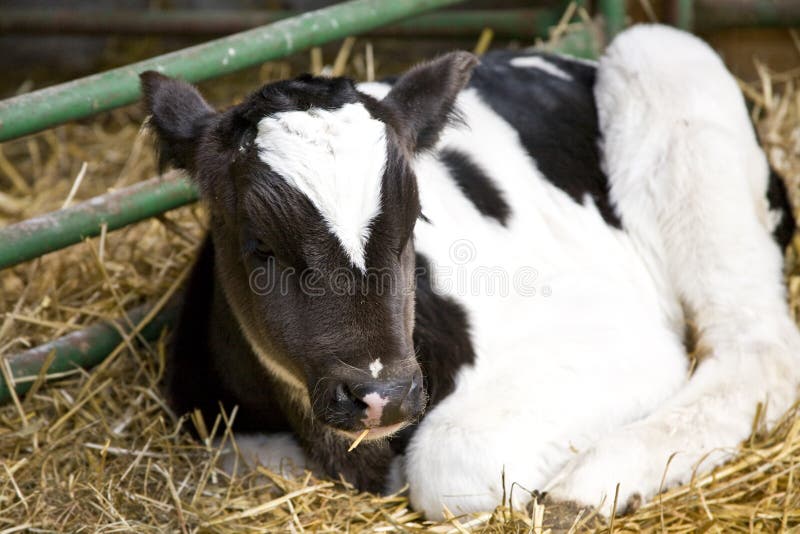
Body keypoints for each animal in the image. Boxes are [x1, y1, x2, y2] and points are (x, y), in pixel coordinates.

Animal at [140, 24, 800, 519]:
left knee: (756, 351)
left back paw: (588, 485)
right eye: (259, 244)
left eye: (414, 221)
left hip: (666, 66)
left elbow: (450, 460)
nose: (382, 396)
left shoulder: (617, 337)